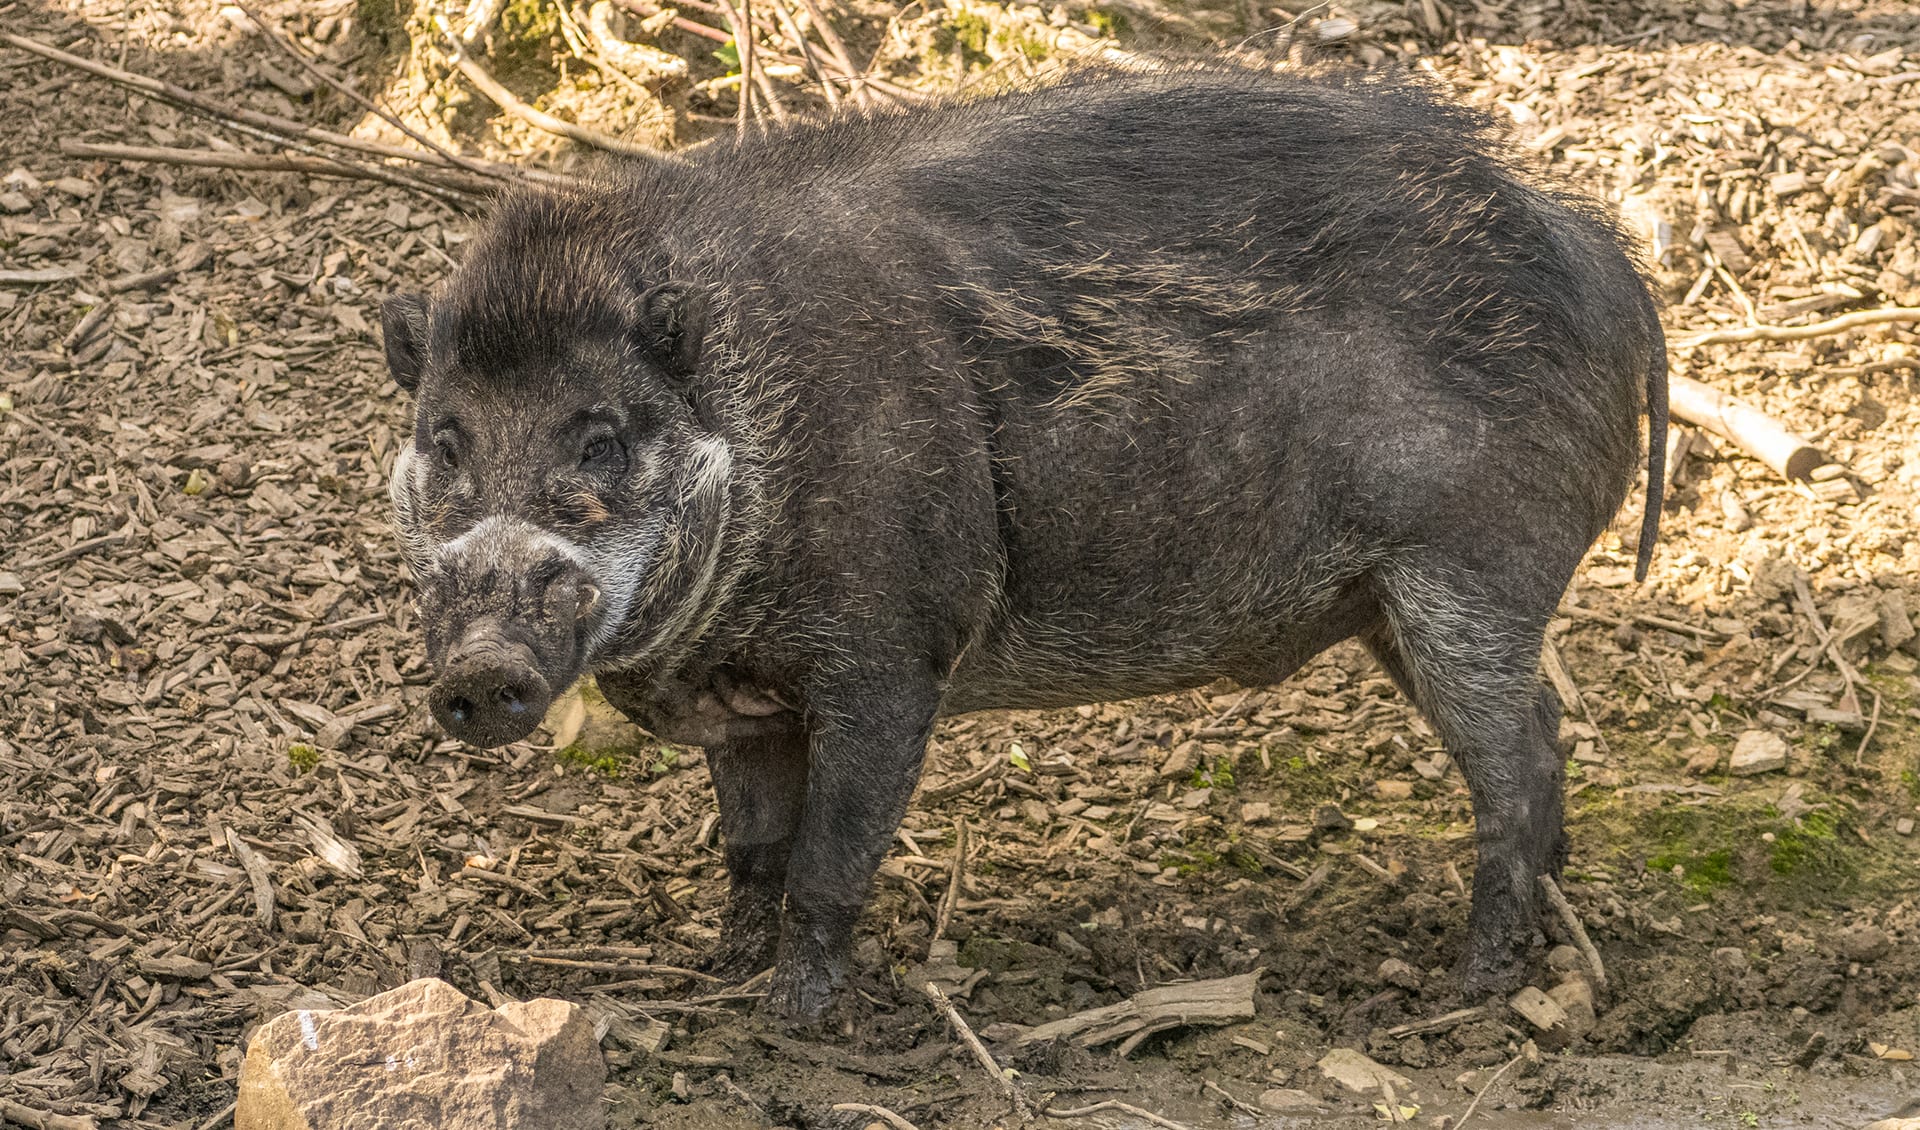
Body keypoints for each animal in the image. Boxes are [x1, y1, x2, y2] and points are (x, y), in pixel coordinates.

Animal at [381, 68, 1667, 1020]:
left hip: (1470, 573)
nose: (479, 670)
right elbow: (752, 847)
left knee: (1524, 759)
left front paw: (793, 1020)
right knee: (1541, 742)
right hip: (1400, 604)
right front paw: (716, 974)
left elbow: (828, 857)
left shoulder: (891, 655)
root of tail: (1600, 250)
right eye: (444, 440)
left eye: (600, 437)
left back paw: (1470, 984)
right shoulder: (742, 707)